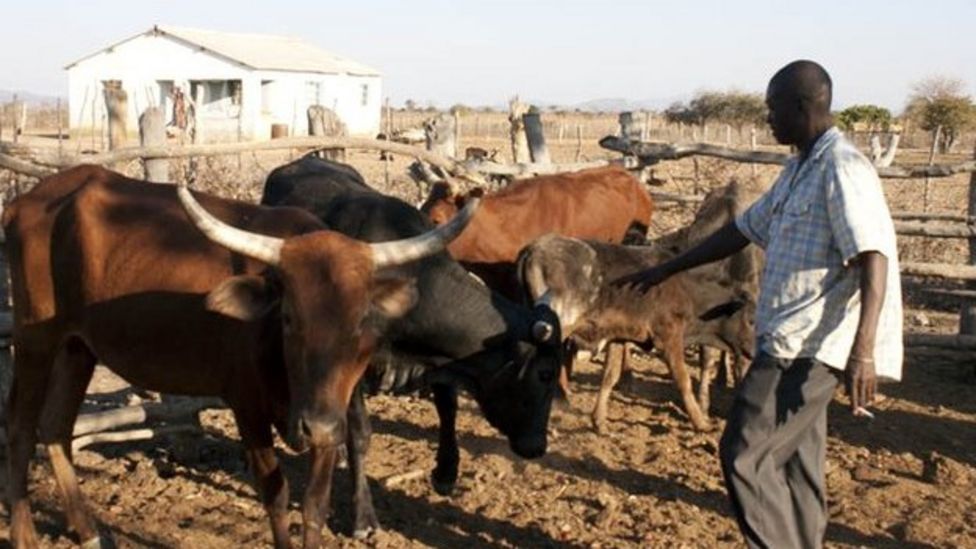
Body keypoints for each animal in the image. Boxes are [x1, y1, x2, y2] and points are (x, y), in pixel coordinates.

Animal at [2, 165, 477, 549]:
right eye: (288, 316)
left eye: (362, 319)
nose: (316, 426)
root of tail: (29, 198)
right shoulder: (247, 405)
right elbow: (276, 493)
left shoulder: (333, 410)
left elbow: (316, 502)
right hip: (34, 338)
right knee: (21, 429)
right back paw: (25, 535)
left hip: (76, 347)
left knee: (56, 426)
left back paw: (87, 530)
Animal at [262, 156, 562, 538]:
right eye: (545, 373)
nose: (537, 446)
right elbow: (360, 434)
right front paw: (363, 517)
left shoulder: (437, 362)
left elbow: (448, 406)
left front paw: (446, 471)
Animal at [518, 234, 756, 432]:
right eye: (752, 320)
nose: (753, 351)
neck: (689, 292)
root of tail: (532, 249)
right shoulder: (668, 338)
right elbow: (683, 380)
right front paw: (701, 422)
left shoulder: (616, 336)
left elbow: (610, 376)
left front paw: (599, 421)